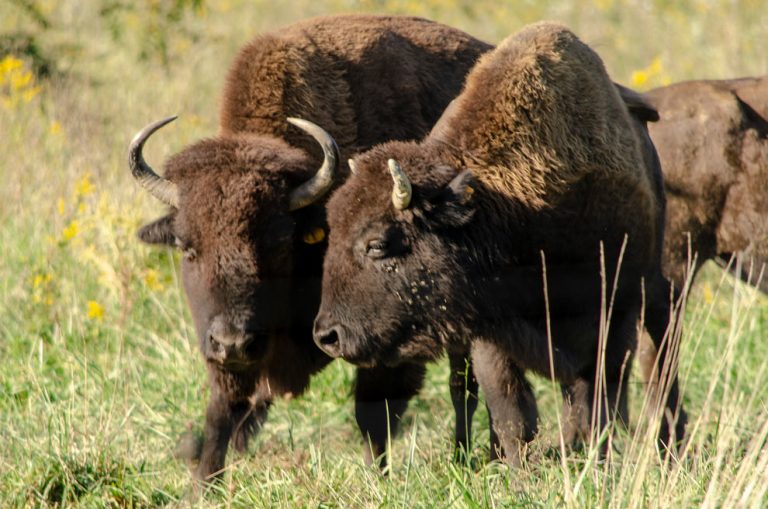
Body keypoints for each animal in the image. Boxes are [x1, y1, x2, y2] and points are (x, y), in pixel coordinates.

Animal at [129, 15, 492, 481]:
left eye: (278, 243)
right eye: (187, 247)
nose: (232, 342)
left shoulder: (382, 339)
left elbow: (373, 414)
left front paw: (378, 481)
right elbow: (220, 416)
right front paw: (201, 484)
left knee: (462, 385)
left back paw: (463, 457)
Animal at [314, 22, 686, 465]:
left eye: (377, 244)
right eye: (333, 232)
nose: (327, 336)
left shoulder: (613, 318)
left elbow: (598, 405)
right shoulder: (491, 332)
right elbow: (513, 416)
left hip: (650, 286)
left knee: (662, 346)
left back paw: (671, 443)